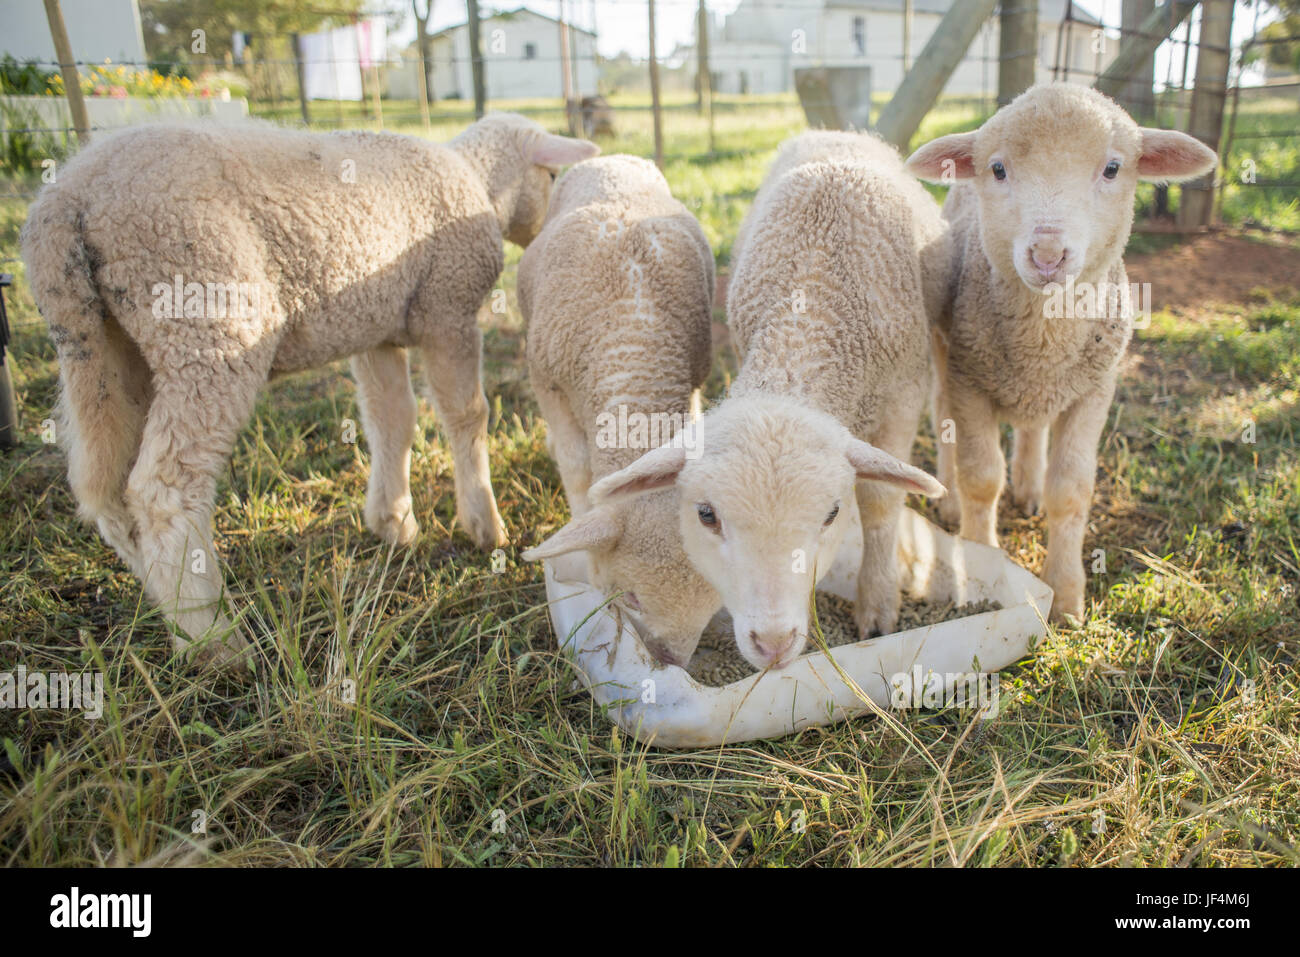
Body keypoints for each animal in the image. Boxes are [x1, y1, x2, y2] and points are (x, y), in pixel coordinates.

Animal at [21, 113, 598, 667]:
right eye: (550, 176)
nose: (542, 229)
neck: (477, 180)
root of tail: (68, 200)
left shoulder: (376, 330)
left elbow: (392, 421)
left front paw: (392, 522)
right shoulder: (447, 308)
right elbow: (467, 415)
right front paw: (484, 526)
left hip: (100, 346)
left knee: (106, 491)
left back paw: (171, 609)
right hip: (203, 318)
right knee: (161, 491)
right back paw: (215, 641)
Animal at [517, 155, 721, 667]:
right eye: (631, 598)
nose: (669, 662)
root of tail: (608, 157)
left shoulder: (694, 374)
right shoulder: (548, 382)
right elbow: (576, 471)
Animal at [587, 131, 948, 671]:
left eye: (831, 515)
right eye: (707, 516)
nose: (773, 644)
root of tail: (840, 133)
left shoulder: (905, 394)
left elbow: (881, 504)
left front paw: (878, 603)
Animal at [906, 83, 1217, 622]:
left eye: (1112, 168)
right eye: (998, 169)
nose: (1048, 255)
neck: (1044, 339)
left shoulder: (1095, 389)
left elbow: (1070, 491)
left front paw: (1067, 598)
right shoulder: (969, 378)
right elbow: (981, 477)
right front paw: (980, 557)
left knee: (1033, 430)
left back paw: (1029, 488)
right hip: (946, 349)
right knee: (944, 417)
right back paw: (950, 503)